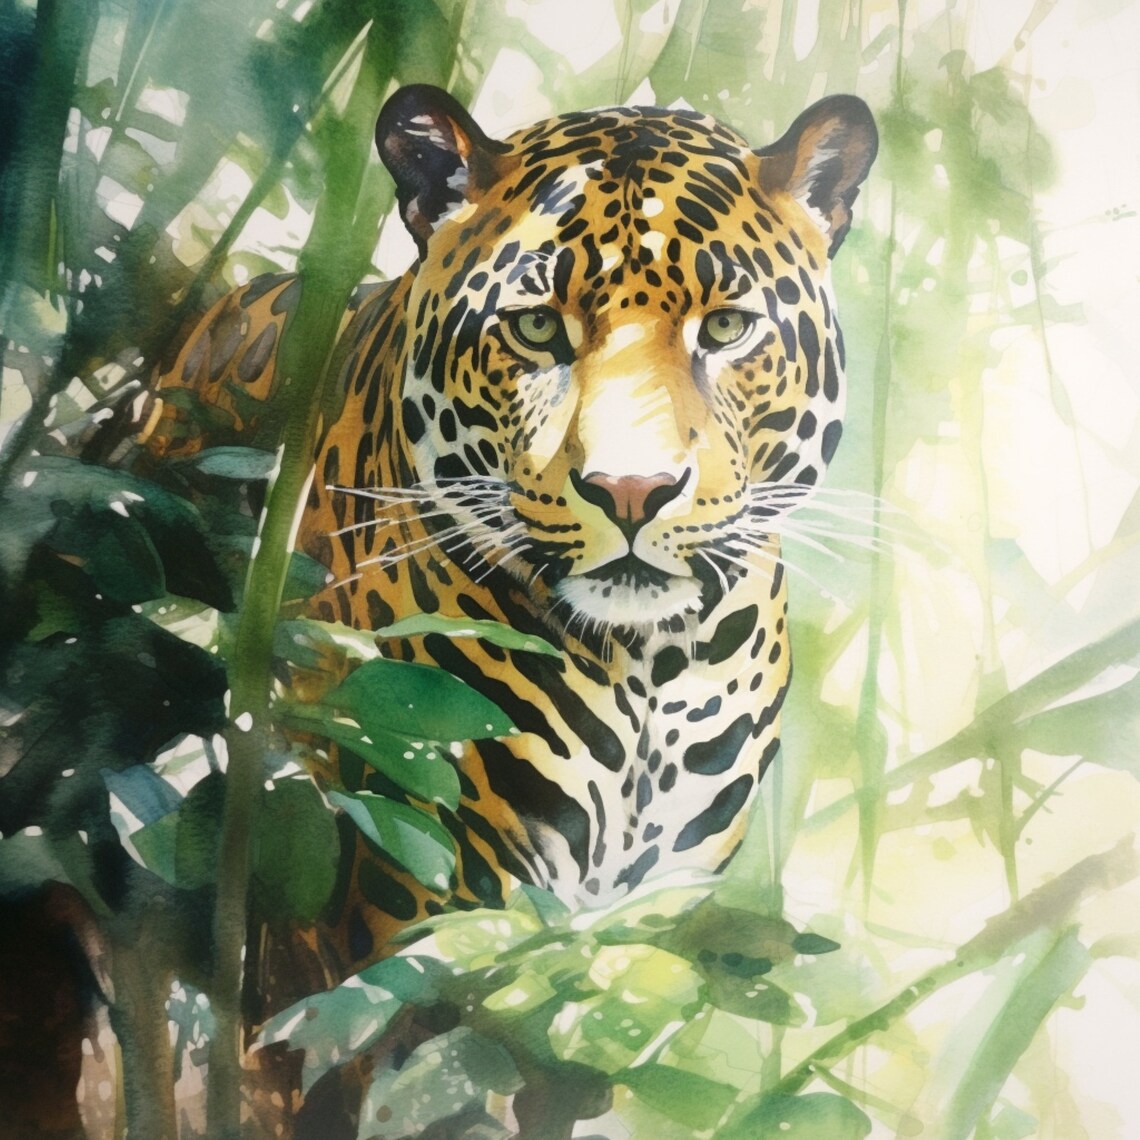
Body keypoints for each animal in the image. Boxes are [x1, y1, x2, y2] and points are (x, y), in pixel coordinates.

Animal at [135, 83, 877, 974]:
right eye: (536, 328)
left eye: (727, 329)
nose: (632, 491)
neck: (650, 674)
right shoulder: (413, 881)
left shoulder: (662, 891)